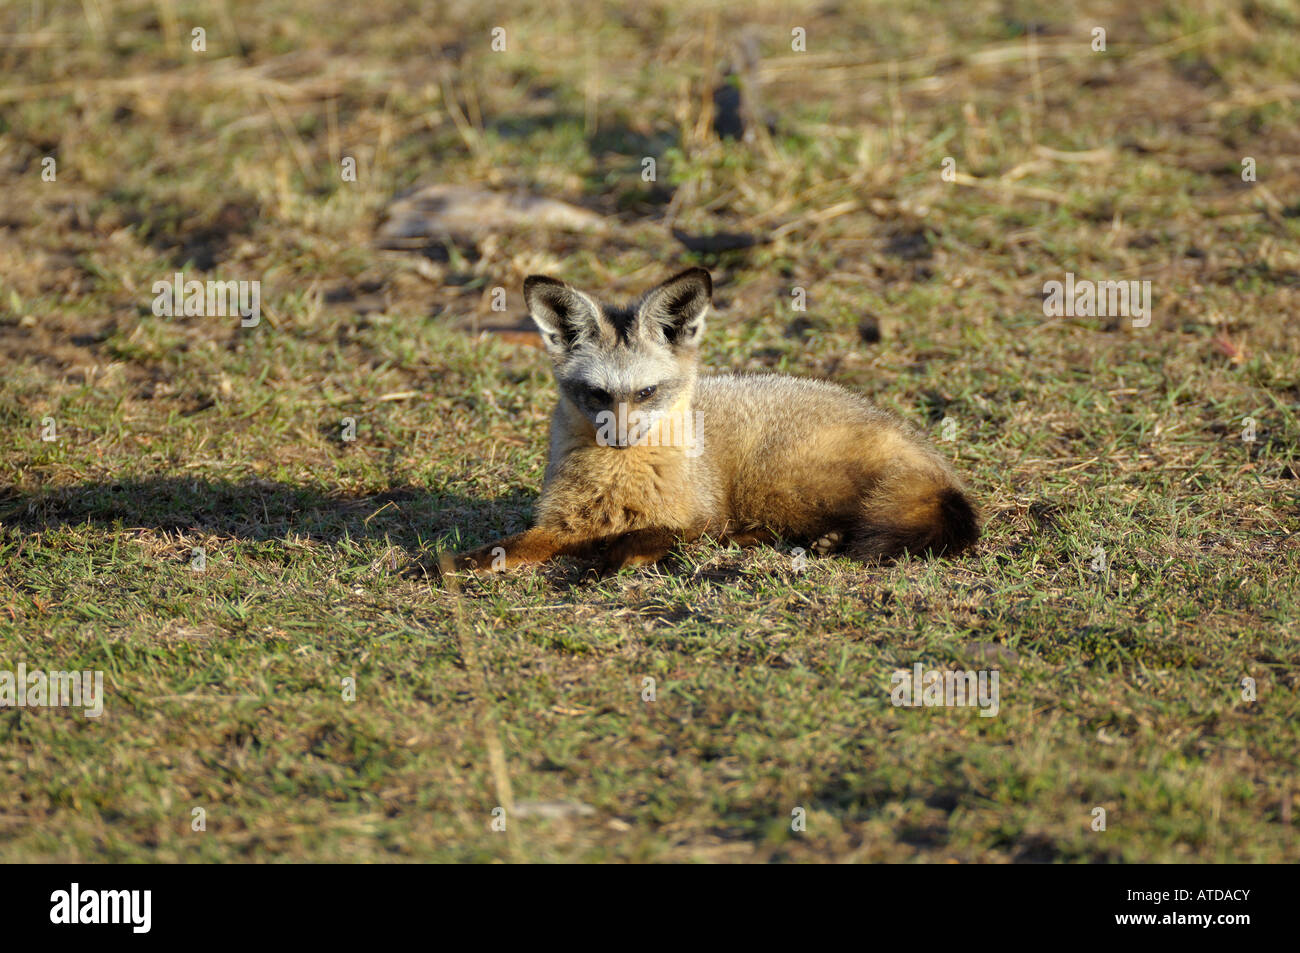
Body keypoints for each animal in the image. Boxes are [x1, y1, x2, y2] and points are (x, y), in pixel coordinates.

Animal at [447, 267, 979, 577]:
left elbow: (654, 537)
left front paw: (618, 557)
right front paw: (456, 564)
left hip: (775, 480)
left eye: (646, 393)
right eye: (597, 393)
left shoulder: (698, 515)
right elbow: (497, 549)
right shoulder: (562, 524)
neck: (620, 483)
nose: (618, 439)